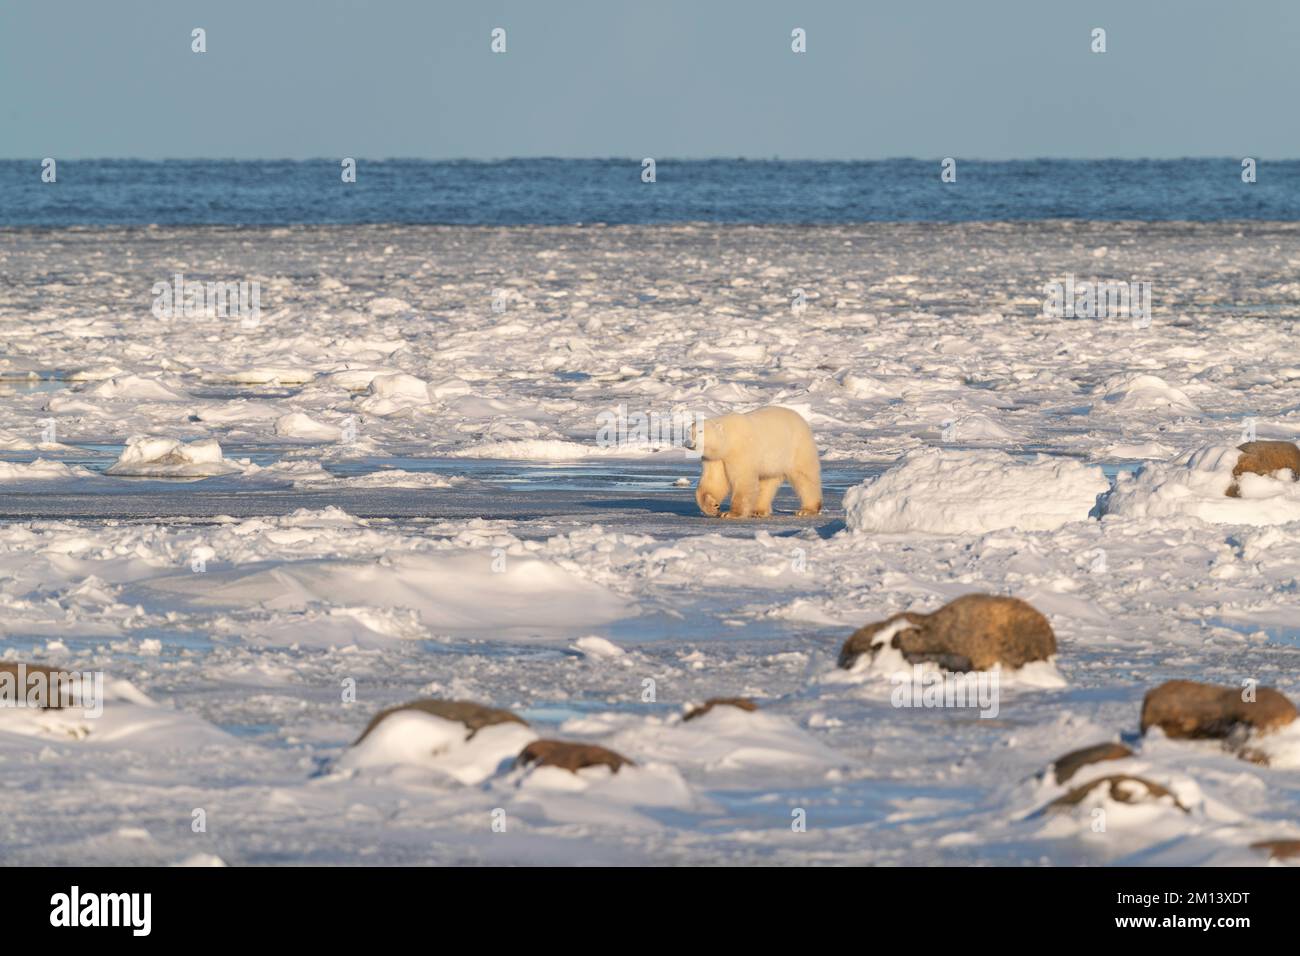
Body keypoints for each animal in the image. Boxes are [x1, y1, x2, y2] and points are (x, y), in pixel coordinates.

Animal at [690, 406, 822, 518]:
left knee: (804, 477)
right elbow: (714, 480)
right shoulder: (716, 458)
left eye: (700, 432)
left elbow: (743, 480)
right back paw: (758, 511)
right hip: (773, 462)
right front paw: (713, 507)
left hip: (797, 448)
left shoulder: (740, 451)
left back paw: (807, 510)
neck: (729, 439)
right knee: (767, 482)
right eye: (689, 432)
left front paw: (731, 513)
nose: (690, 443)